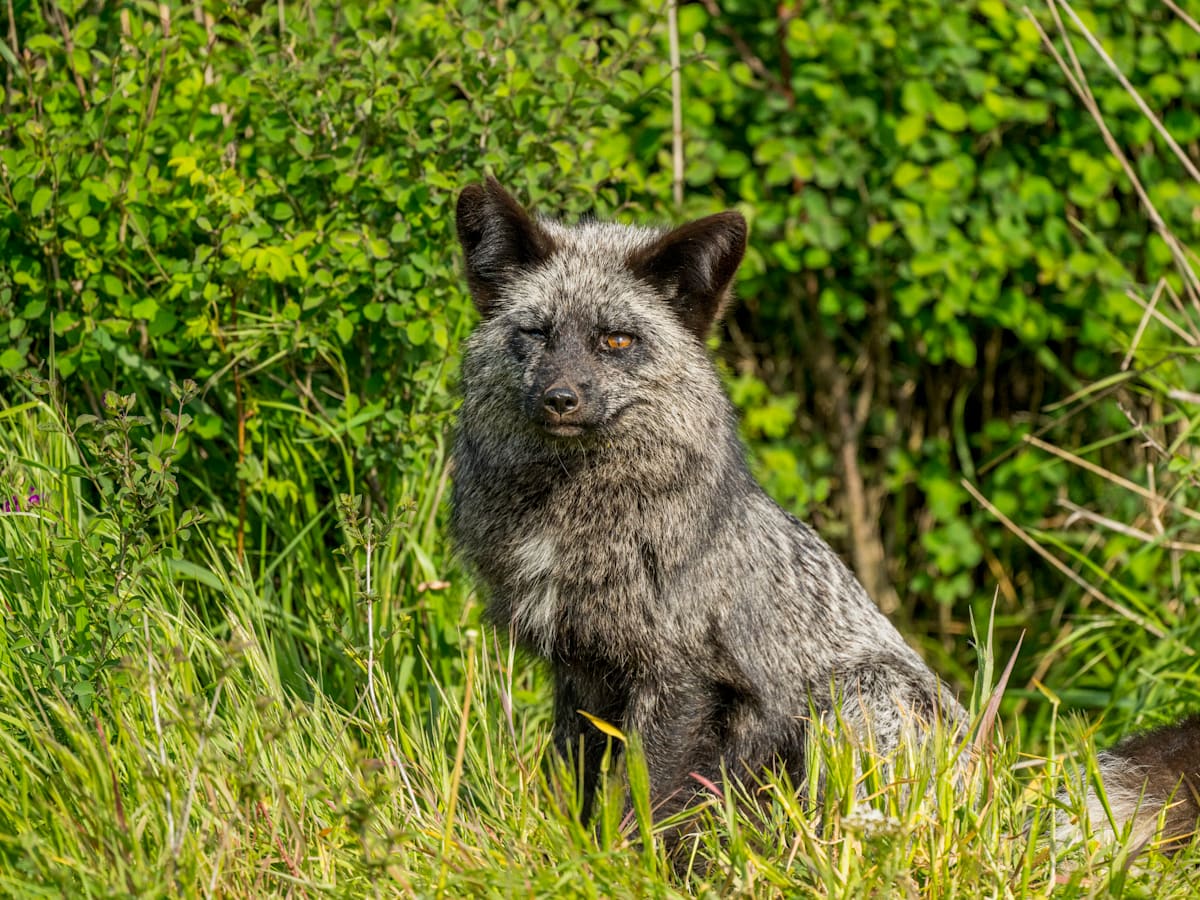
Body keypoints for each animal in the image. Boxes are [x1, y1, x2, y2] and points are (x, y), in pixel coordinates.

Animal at [449, 177, 1199, 858]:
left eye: (616, 341)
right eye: (535, 335)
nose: (560, 398)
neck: (578, 525)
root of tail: (996, 809)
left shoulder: (682, 674)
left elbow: (641, 800)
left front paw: (630, 869)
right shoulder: (579, 671)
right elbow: (577, 788)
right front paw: (574, 858)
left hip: (851, 700)